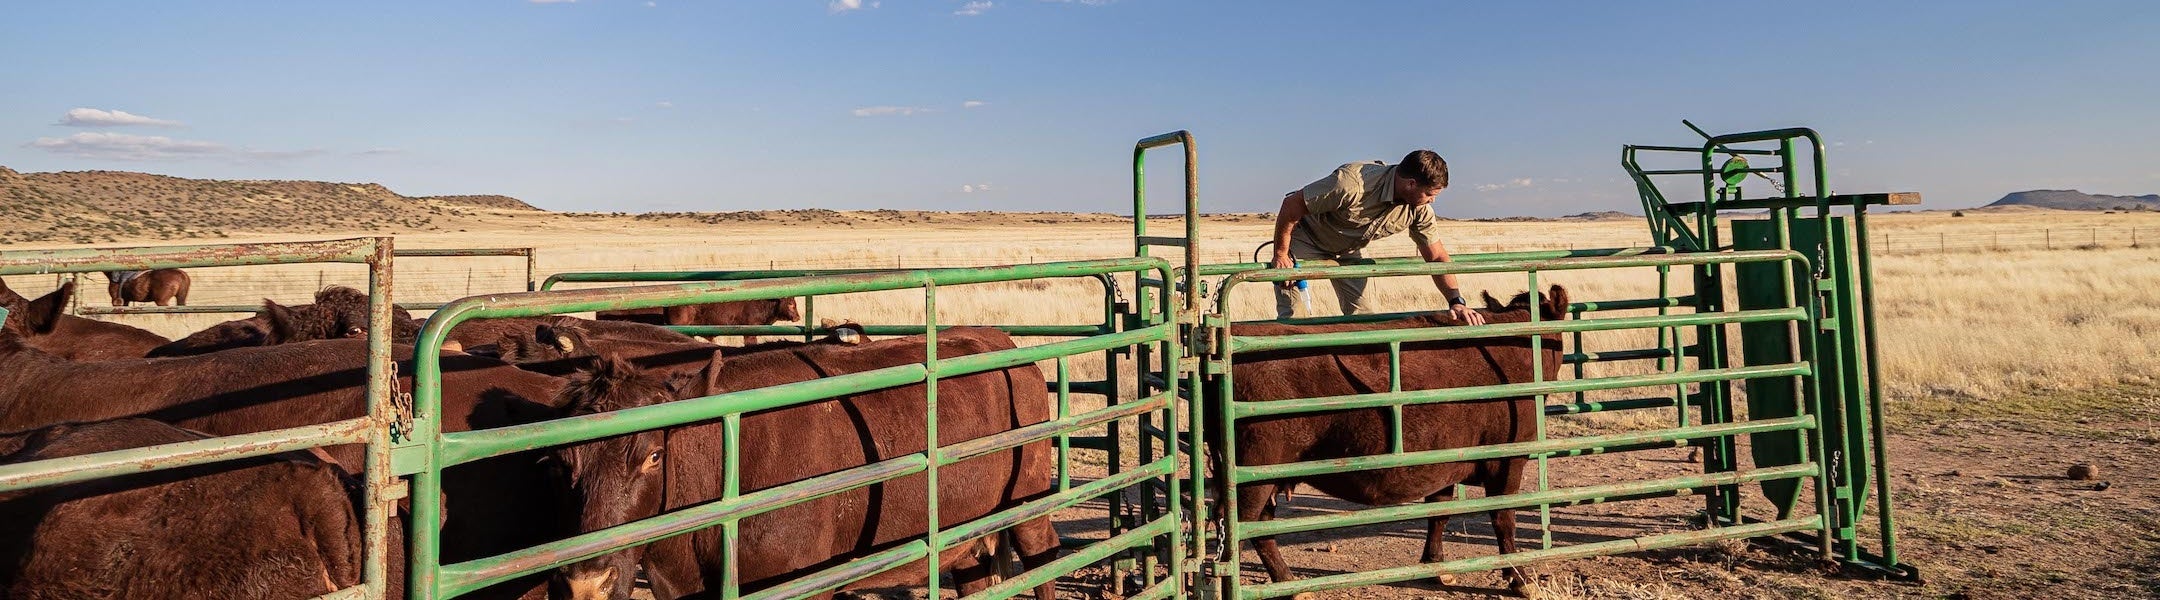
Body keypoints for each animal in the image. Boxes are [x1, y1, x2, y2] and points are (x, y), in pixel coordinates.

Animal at [545, 327, 1059, 600]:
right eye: (562, 462)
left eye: (654, 455)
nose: (586, 584)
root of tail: (995, 336)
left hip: (1029, 501)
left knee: (1045, 555)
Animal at [1215, 286, 1569, 599]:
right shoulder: (1507, 459)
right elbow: (1503, 519)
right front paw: (1520, 578)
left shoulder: (1442, 463)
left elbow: (1439, 512)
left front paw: (1435, 564)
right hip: (1254, 476)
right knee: (1240, 528)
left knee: (1257, 528)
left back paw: (1289, 582)